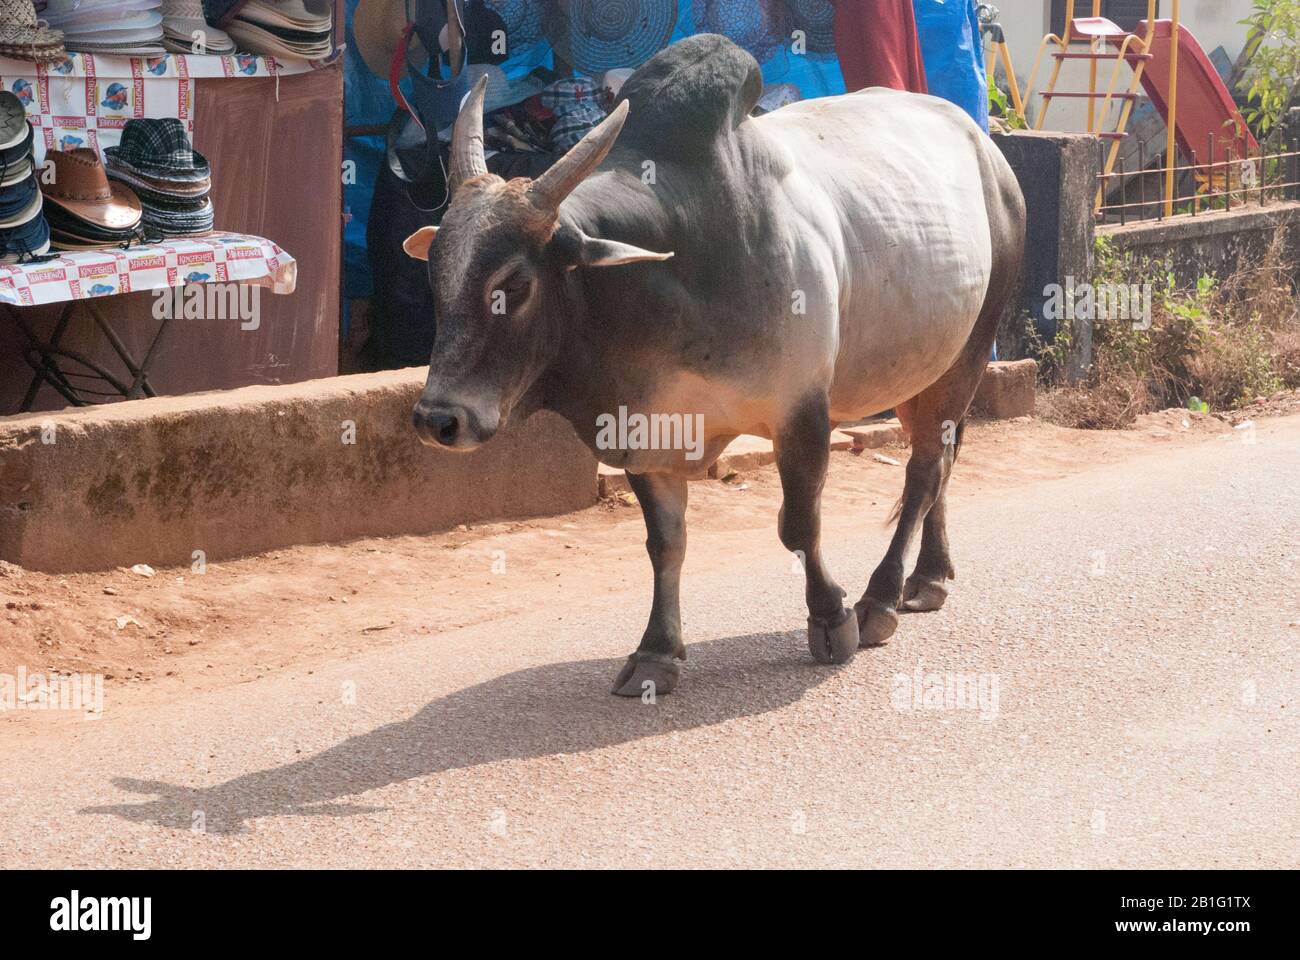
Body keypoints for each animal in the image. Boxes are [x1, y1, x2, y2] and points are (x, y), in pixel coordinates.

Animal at [406, 35, 1026, 697]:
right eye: (436, 272)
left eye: (516, 284)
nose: (438, 419)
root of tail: (986, 147)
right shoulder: (646, 430)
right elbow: (665, 544)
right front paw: (656, 651)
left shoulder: (801, 413)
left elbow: (798, 525)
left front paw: (831, 619)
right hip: (923, 372)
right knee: (943, 461)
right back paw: (929, 576)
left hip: (966, 358)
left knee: (925, 471)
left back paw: (880, 599)